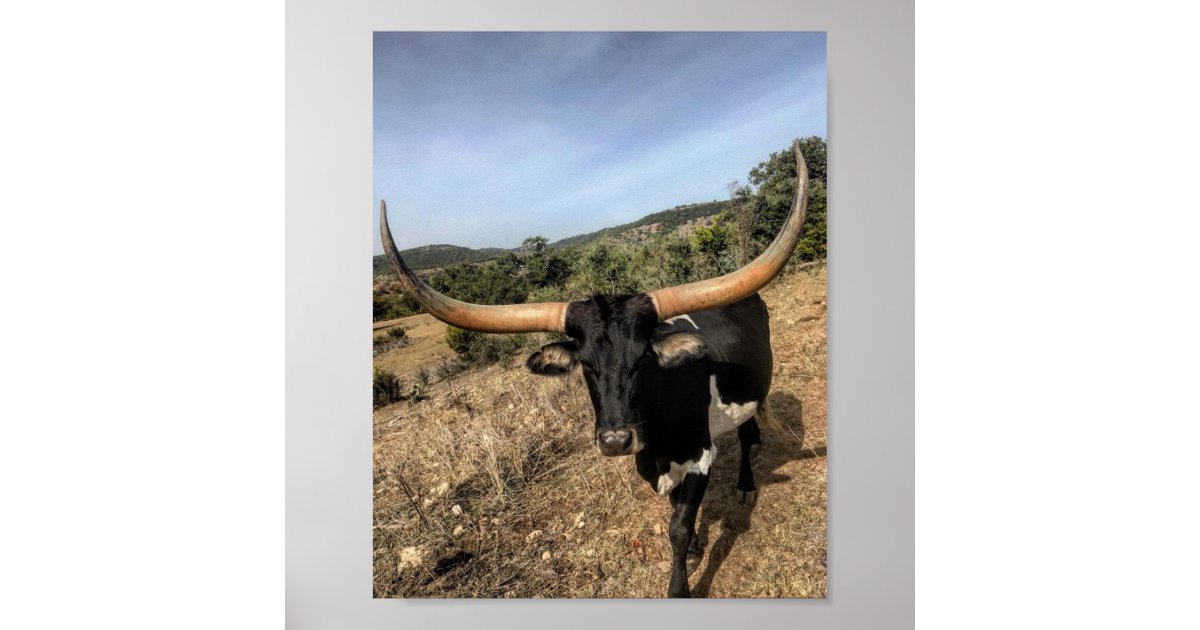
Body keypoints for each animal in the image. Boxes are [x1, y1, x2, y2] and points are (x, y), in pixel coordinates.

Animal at [379, 142, 810, 598]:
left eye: (644, 360)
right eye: (585, 365)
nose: (616, 441)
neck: (657, 437)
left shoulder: (698, 456)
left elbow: (677, 526)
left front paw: (679, 583)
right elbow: (678, 514)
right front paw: (695, 544)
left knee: (746, 435)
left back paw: (745, 486)